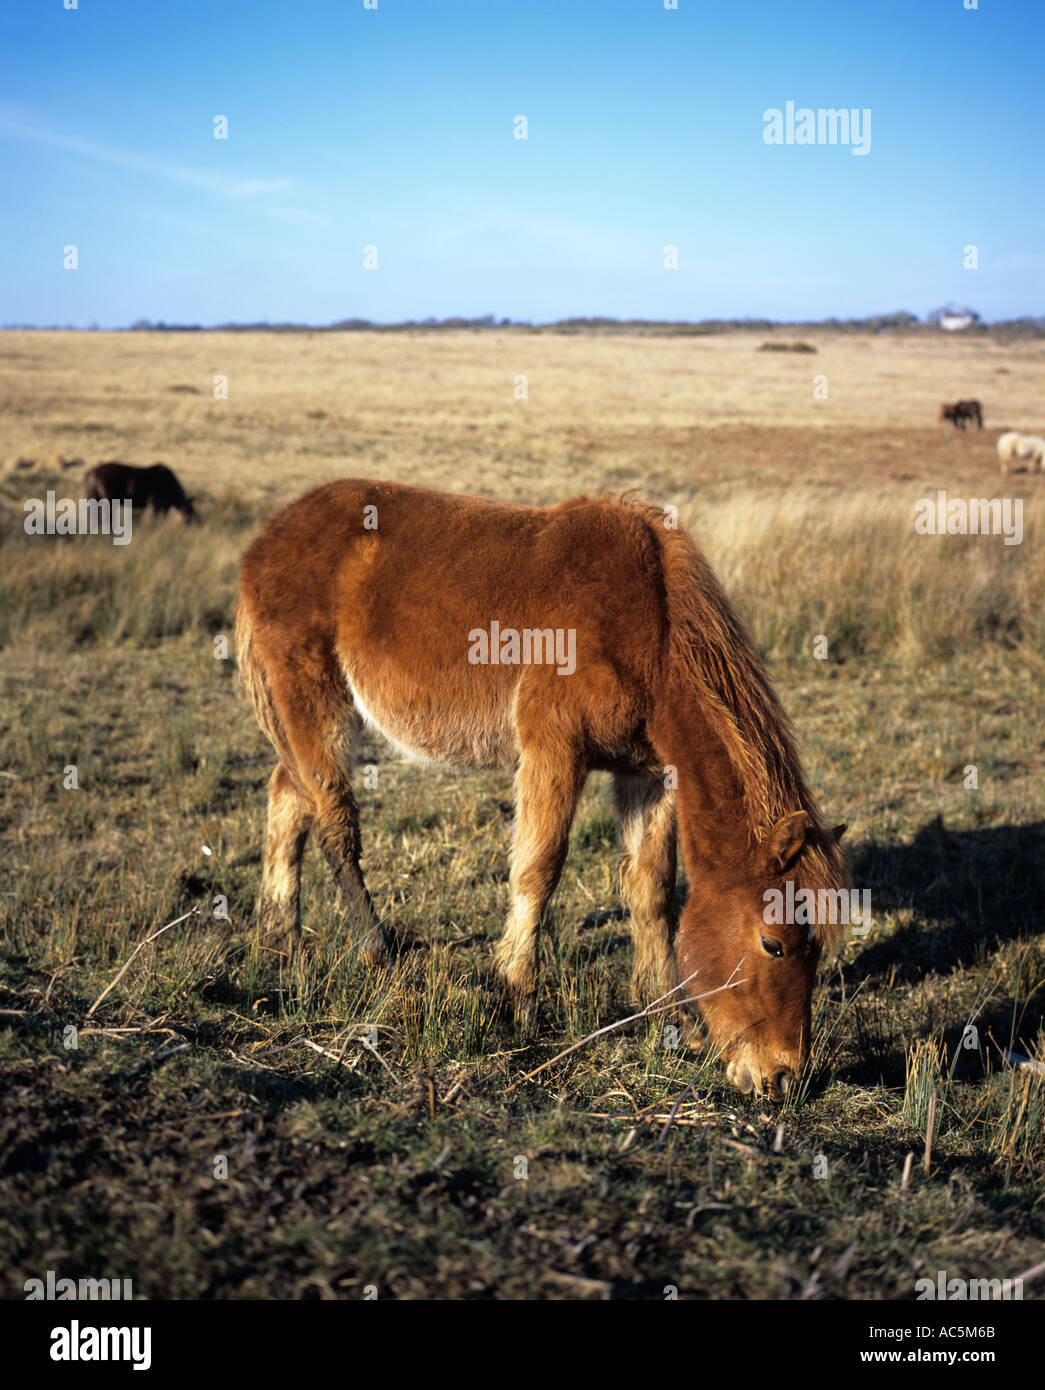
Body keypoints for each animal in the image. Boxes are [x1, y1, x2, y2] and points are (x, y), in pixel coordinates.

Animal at [235, 480, 849, 1100]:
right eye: (773, 943)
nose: (783, 1077)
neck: (647, 627)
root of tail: (271, 537)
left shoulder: (647, 775)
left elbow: (651, 889)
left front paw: (669, 1016)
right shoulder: (554, 749)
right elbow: (539, 869)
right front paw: (518, 1000)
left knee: (287, 799)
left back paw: (280, 939)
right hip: (316, 703)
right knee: (334, 825)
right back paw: (378, 956)